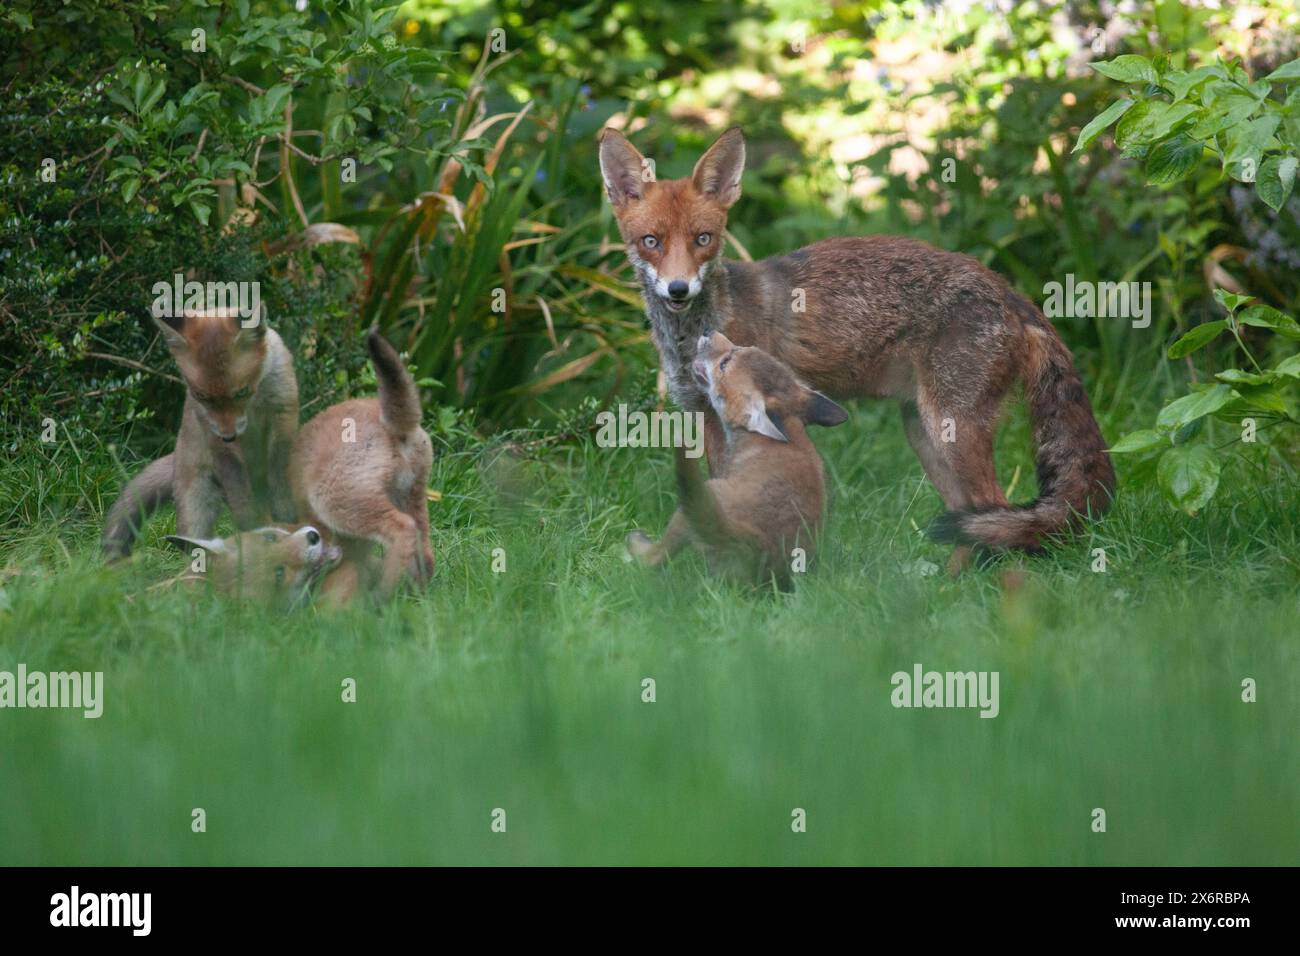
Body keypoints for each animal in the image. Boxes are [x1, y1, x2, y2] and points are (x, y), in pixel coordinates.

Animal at [101, 309, 299, 561]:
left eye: (241, 392)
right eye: (201, 396)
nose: (229, 436)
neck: (254, 405)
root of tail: (176, 459)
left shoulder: (282, 416)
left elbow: (281, 479)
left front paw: (287, 520)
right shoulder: (216, 437)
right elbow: (244, 505)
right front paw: (258, 534)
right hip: (196, 505)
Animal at [288, 328, 434, 605]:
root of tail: (387, 421)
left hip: (336, 500)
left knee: (403, 529)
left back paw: (384, 596)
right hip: (412, 496)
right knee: (425, 550)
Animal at [628, 331, 848, 589]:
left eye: (725, 363)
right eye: (745, 346)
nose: (708, 332)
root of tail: (754, 543)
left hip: (702, 499)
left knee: (656, 557)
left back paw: (637, 549)